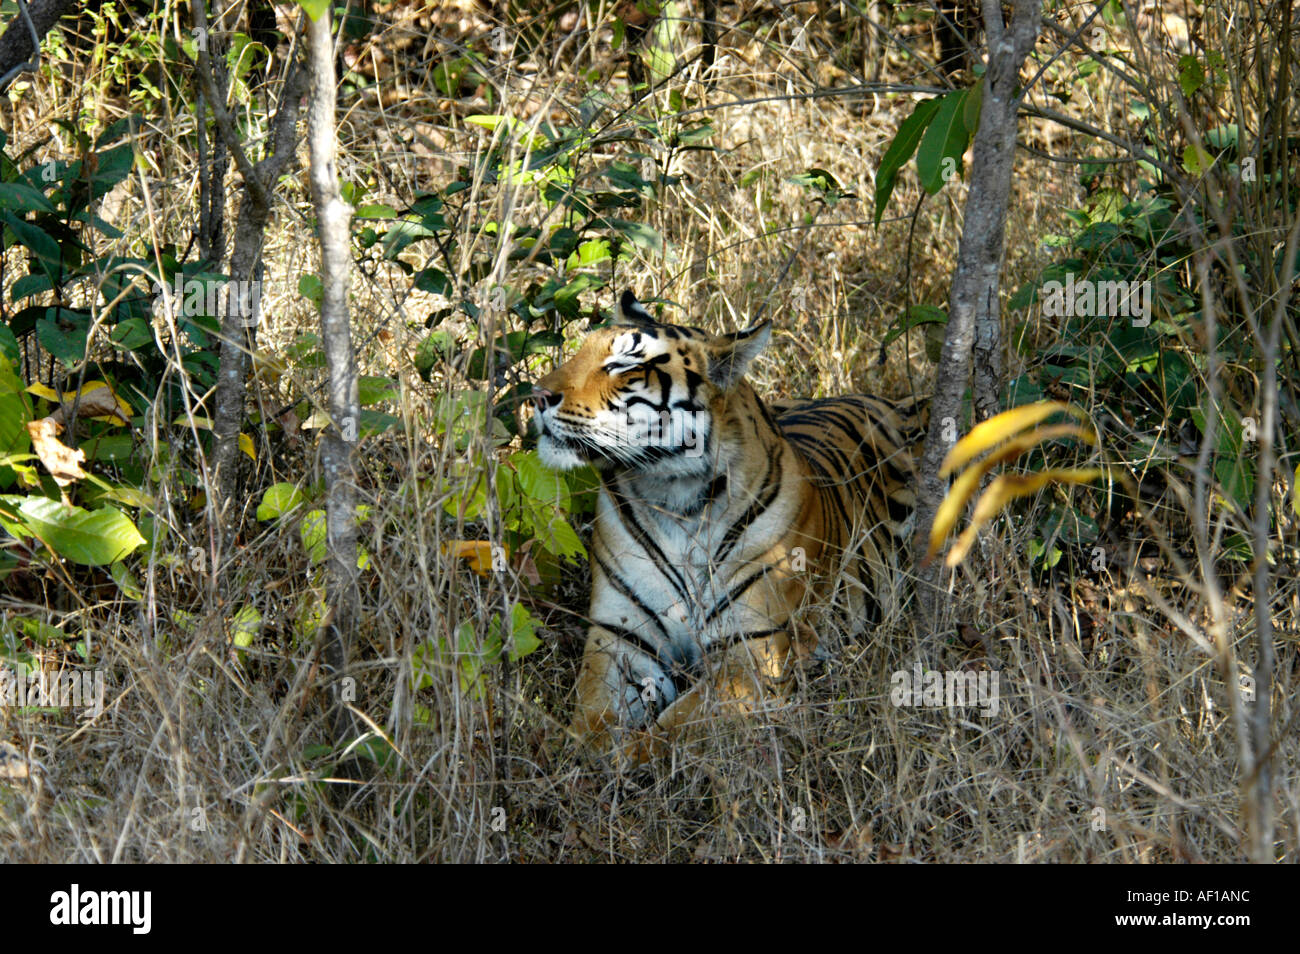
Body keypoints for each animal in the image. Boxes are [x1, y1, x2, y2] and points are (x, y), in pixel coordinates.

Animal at [532, 290, 926, 760]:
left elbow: (667, 733)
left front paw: (624, 758)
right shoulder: (620, 638)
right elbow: (590, 722)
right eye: (580, 351)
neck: (673, 498)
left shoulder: (751, 653)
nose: (537, 395)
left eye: (623, 364)